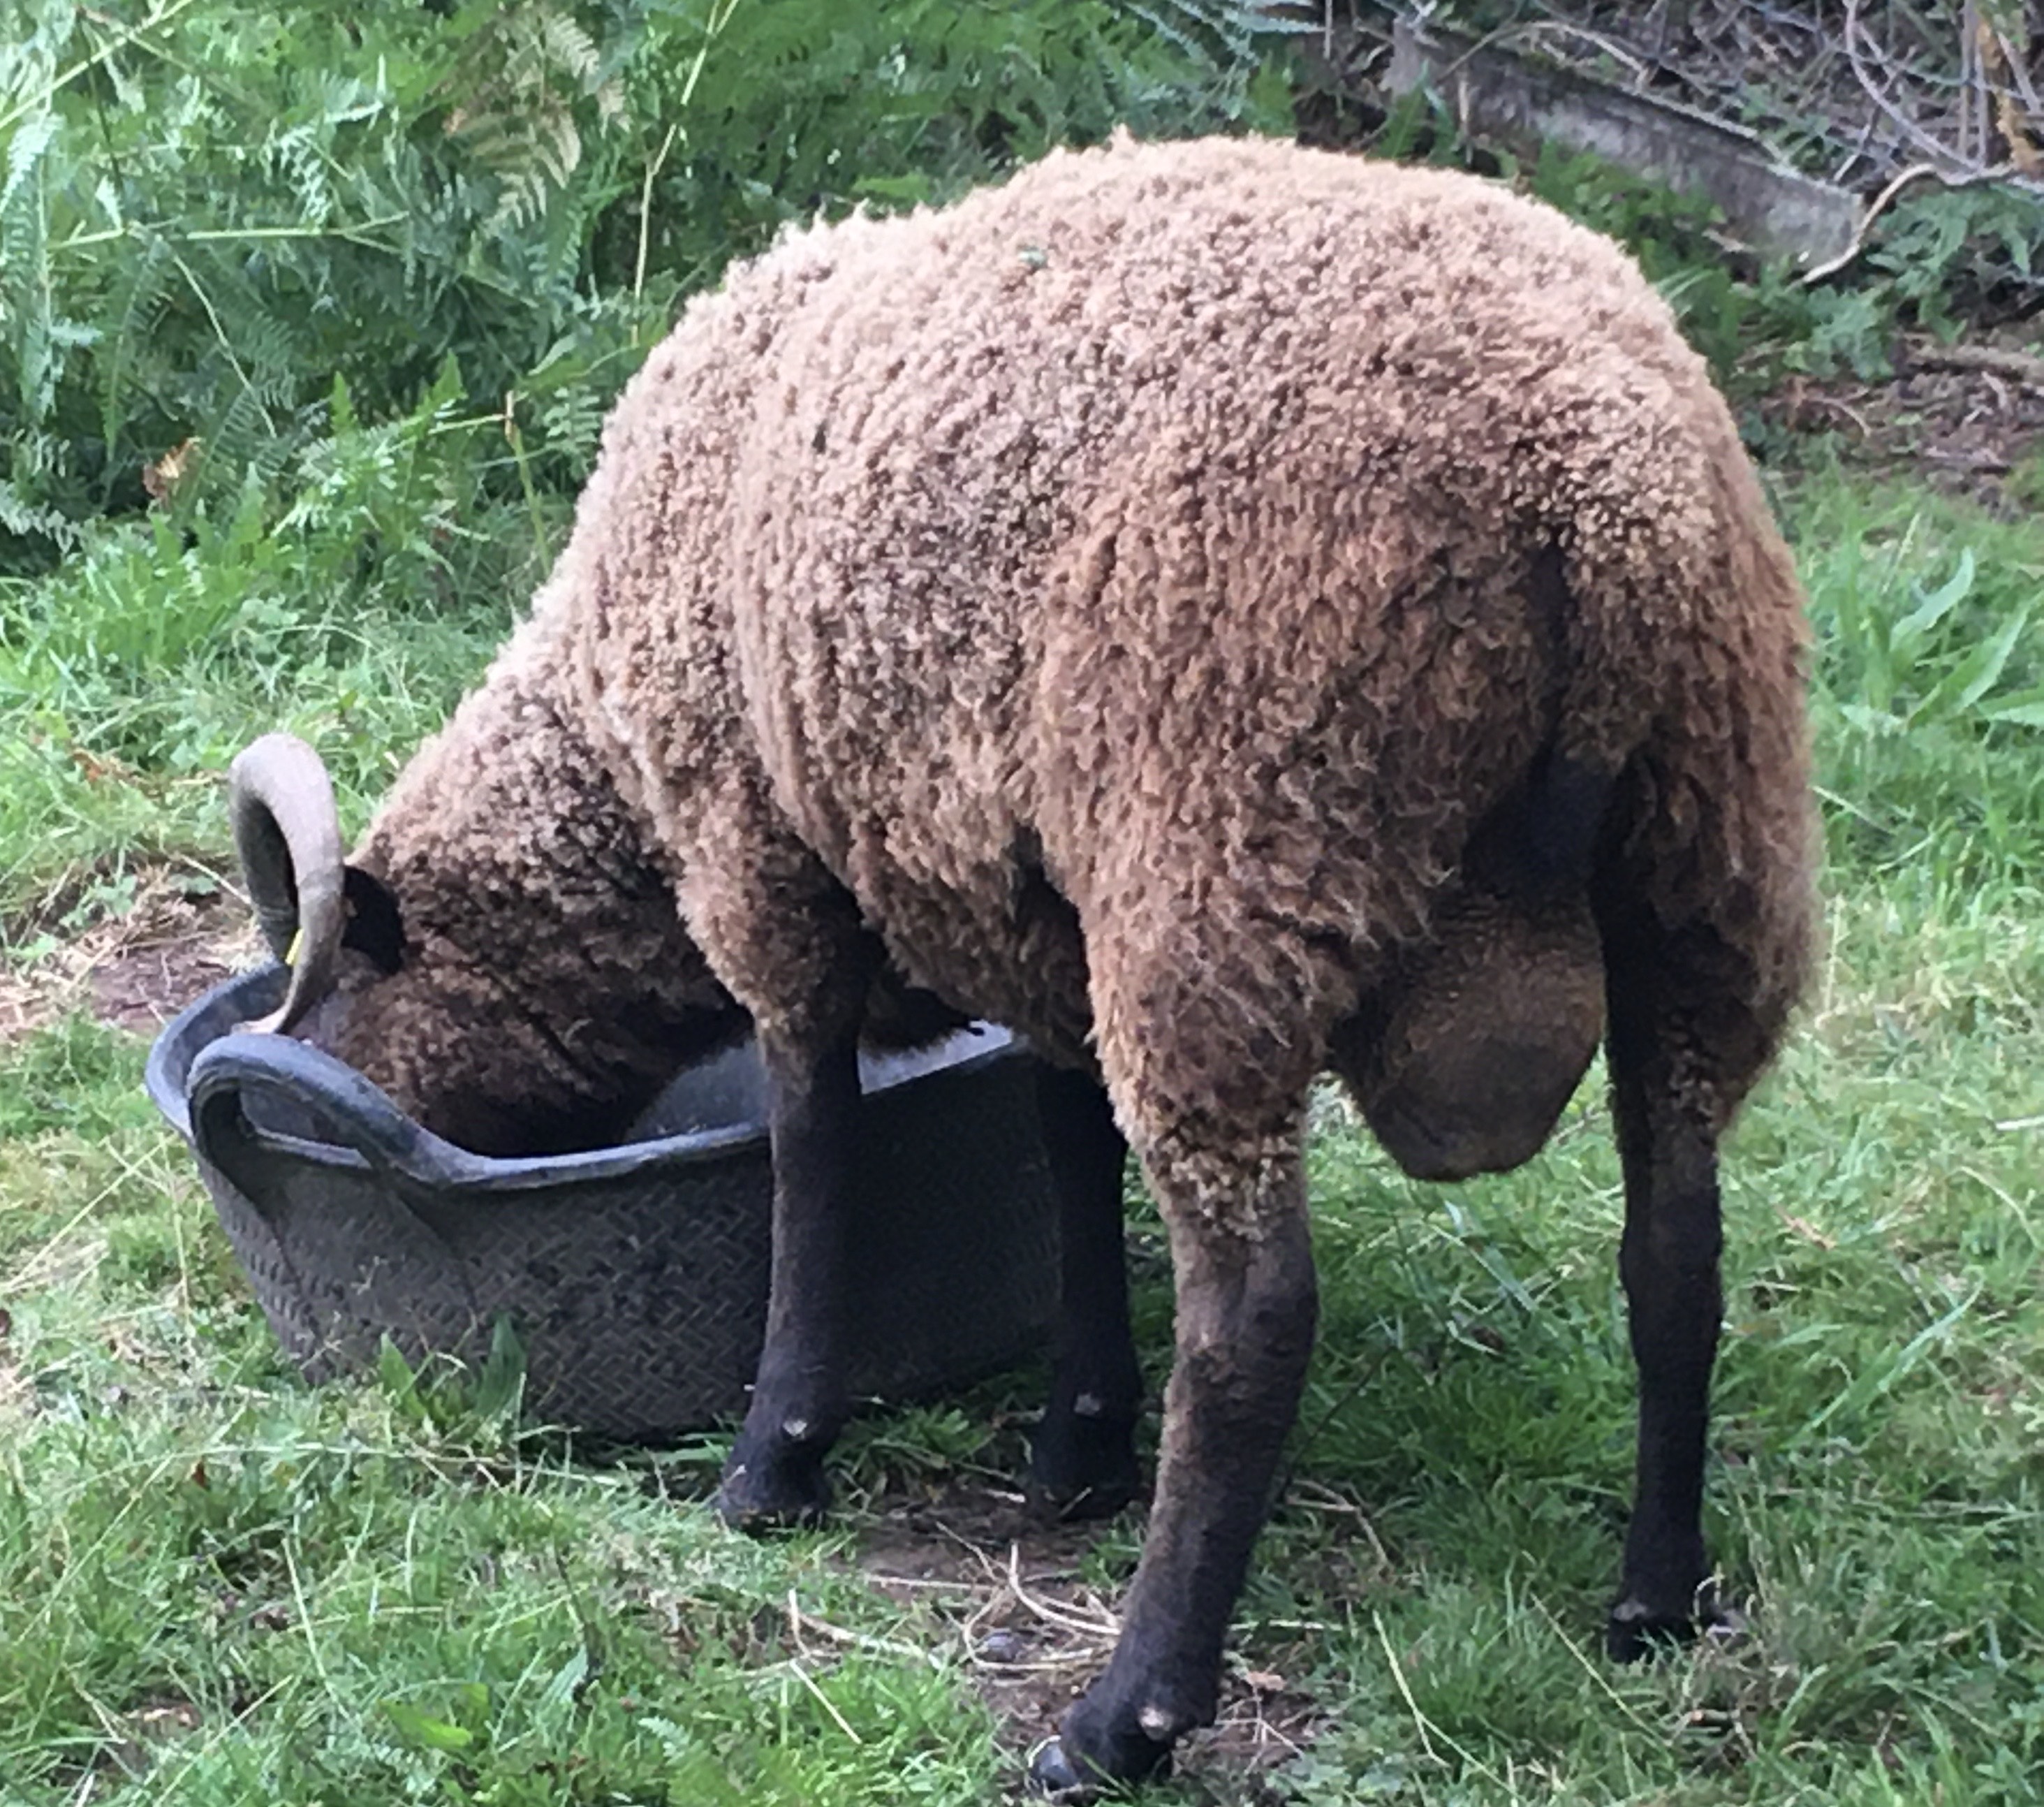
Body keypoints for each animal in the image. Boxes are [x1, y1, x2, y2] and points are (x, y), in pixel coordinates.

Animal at [226, 131, 1816, 1793]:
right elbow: (1065, 1145)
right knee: (1675, 1250)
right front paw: (1075, 1441)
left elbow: (815, 1160)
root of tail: (1604, 501)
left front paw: (770, 1463)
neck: (609, 773)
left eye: (339, 1004)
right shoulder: (1025, 897)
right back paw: (1650, 1599)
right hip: (1704, 878)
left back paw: (1123, 1715)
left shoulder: (763, 863)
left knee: (1254, 1321)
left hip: (1221, 887)